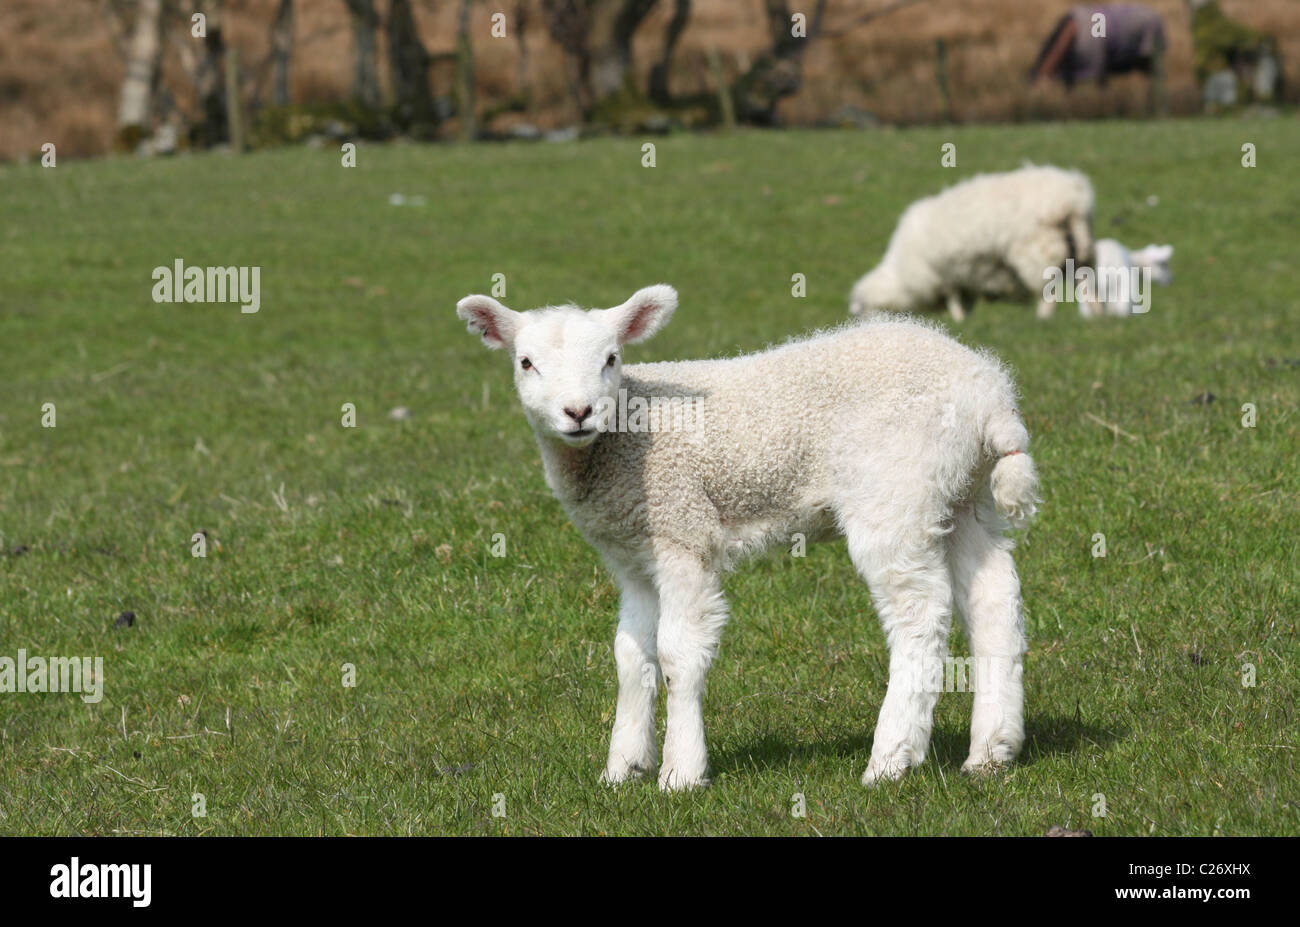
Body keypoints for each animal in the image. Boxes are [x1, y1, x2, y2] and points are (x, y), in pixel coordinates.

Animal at [457, 285, 1040, 791]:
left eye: (611, 358)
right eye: (526, 363)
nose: (577, 412)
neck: (622, 441)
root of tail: (991, 397)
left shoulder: (683, 531)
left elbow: (676, 653)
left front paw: (681, 772)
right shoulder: (635, 557)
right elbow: (630, 656)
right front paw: (623, 768)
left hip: (893, 489)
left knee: (919, 612)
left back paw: (891, 758)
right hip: (961, 494)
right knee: (993, 598)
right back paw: (992, 751)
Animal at [848, 164, 1095, 321]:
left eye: (862, 311)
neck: (900, 276)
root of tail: (1072, 198)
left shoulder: (944, 275)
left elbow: (953, 301)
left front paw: (958, 320)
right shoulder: (962, 278)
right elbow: (962, 301)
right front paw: (965, 319)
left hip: (1038, 252)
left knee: (1049, 292)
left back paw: (1043, 319)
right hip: (1081, 246)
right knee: (1085, 280)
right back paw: (1095, 314)